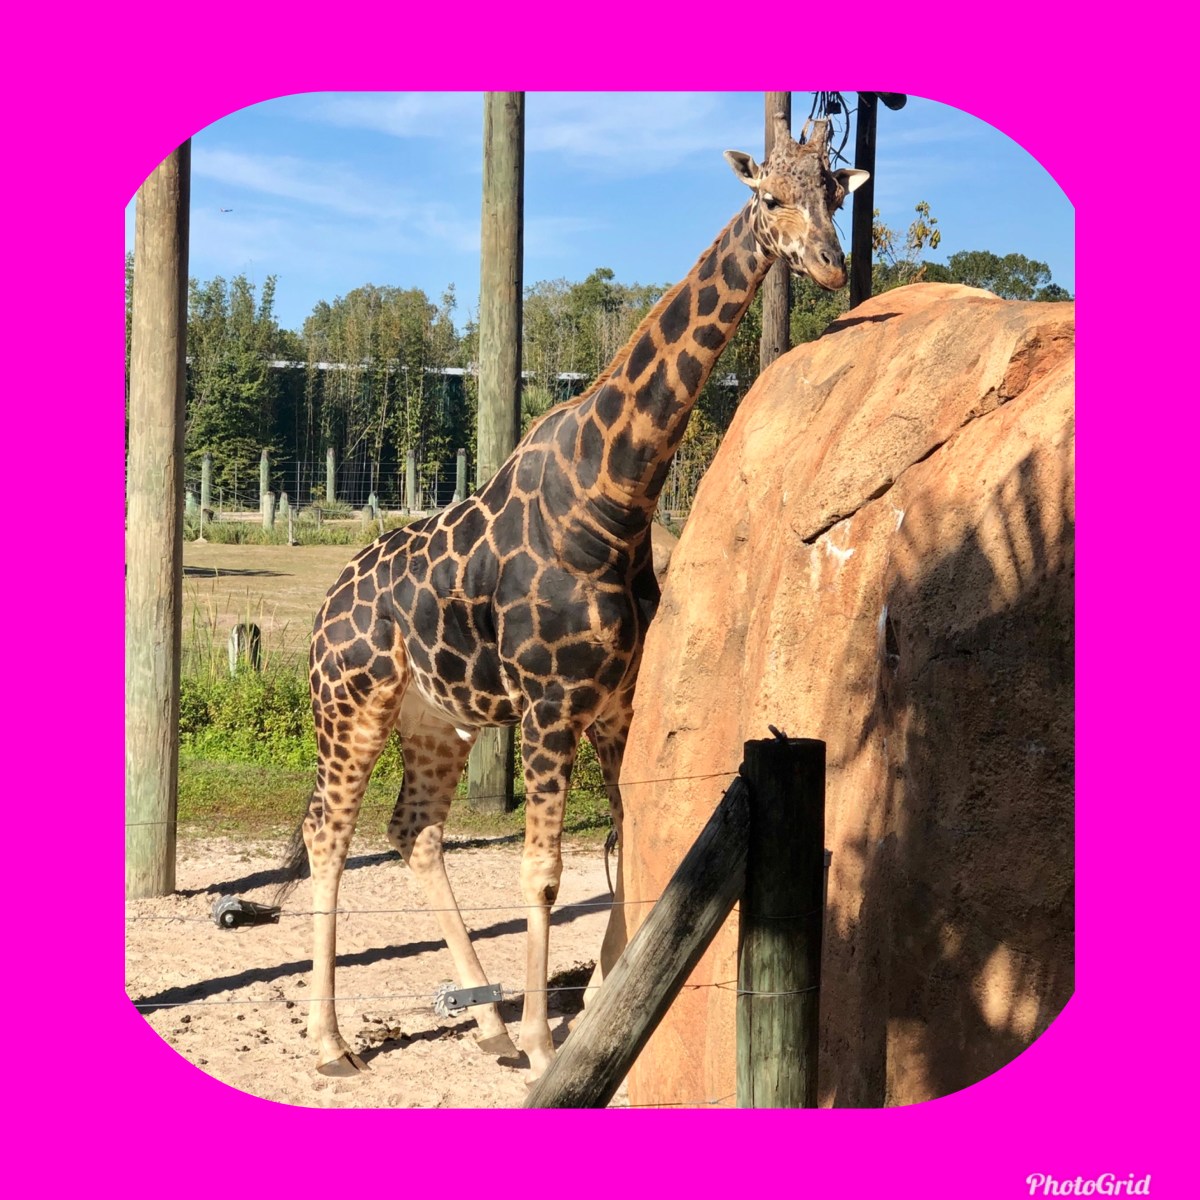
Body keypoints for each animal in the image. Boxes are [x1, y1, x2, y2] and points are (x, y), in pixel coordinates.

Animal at [284, 115, 867, 1080]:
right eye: (768, 196)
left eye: (834, 191)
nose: (828, 266)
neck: (615, 495)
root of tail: (325, 612)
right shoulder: (552, 704)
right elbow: (545, 869)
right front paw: (544, 1035)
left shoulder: (615, 701)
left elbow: (628, 842)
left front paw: (591, 1002)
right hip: (352, 705)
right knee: (328, 833)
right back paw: (333, 1043)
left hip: (435, 718)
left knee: (414, 832)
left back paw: (482, 1024)